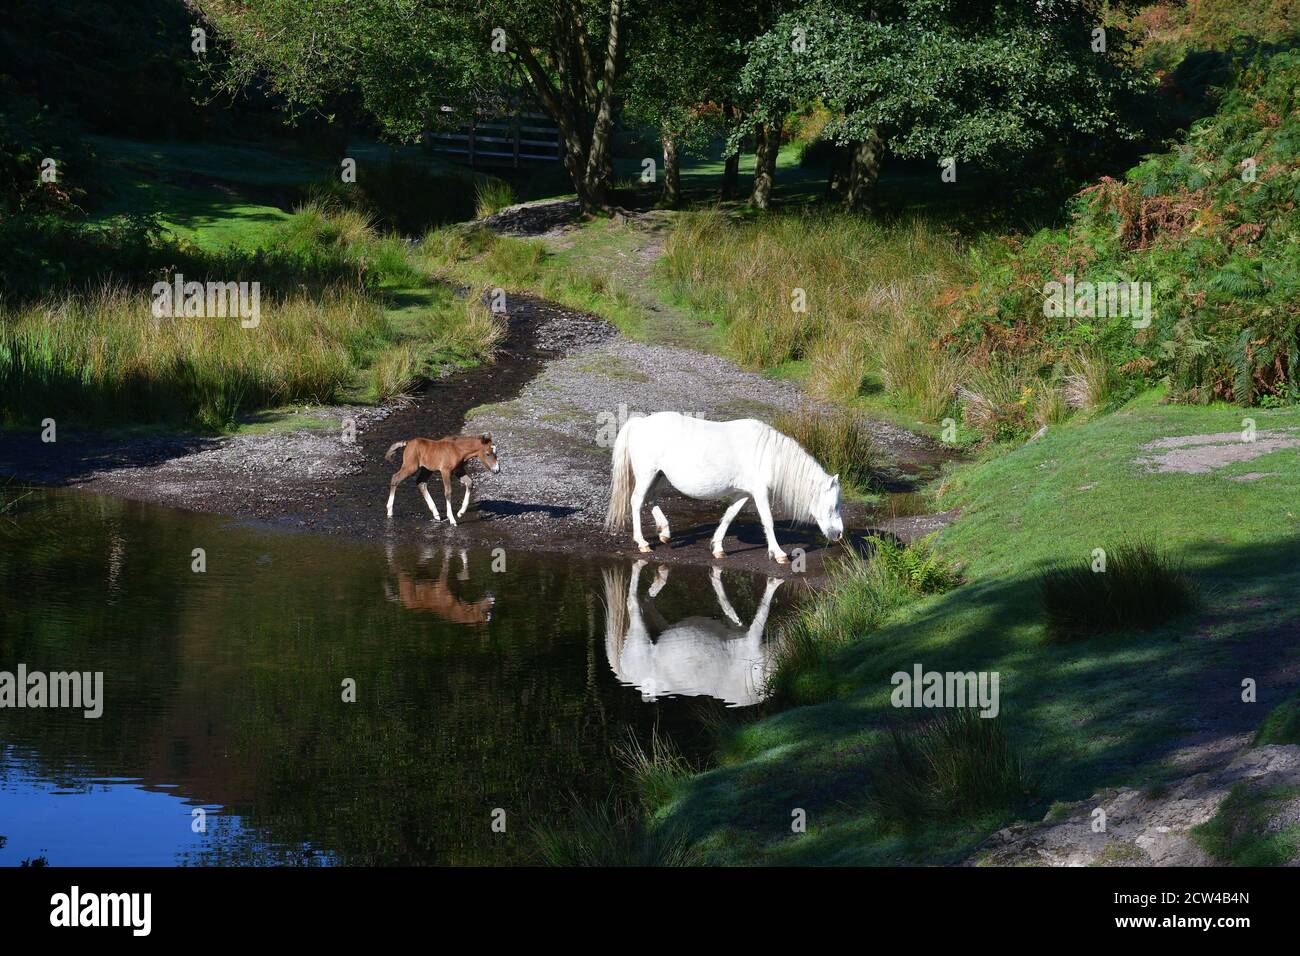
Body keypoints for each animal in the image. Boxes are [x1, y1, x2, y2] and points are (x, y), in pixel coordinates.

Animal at [605, 412, 843, 563]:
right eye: (833, 505)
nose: (839, 534)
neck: (767, 454)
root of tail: (639, 423)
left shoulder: (743, 493)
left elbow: (729, 516)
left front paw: (718, 548)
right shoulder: (759, 493)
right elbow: (768, 521)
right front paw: (778, 553)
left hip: (659, 476)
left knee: (650, 498)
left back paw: (664, 532)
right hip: (647, 474)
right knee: (637, 501)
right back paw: (642, 543)